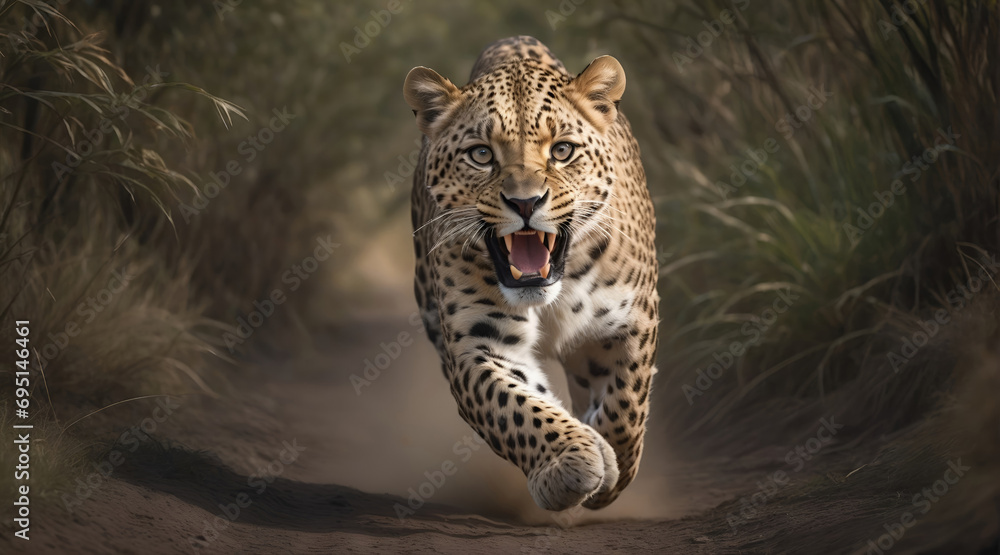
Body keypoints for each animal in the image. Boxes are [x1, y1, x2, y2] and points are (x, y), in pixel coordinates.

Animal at [403, 35, 659, 511]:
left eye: (562, 151)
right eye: (481, 154)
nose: (525, 203)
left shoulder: (632, 319)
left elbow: (626, 405)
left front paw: (610, 468)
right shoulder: (478, 344)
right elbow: (517, 408)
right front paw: (569, 464)